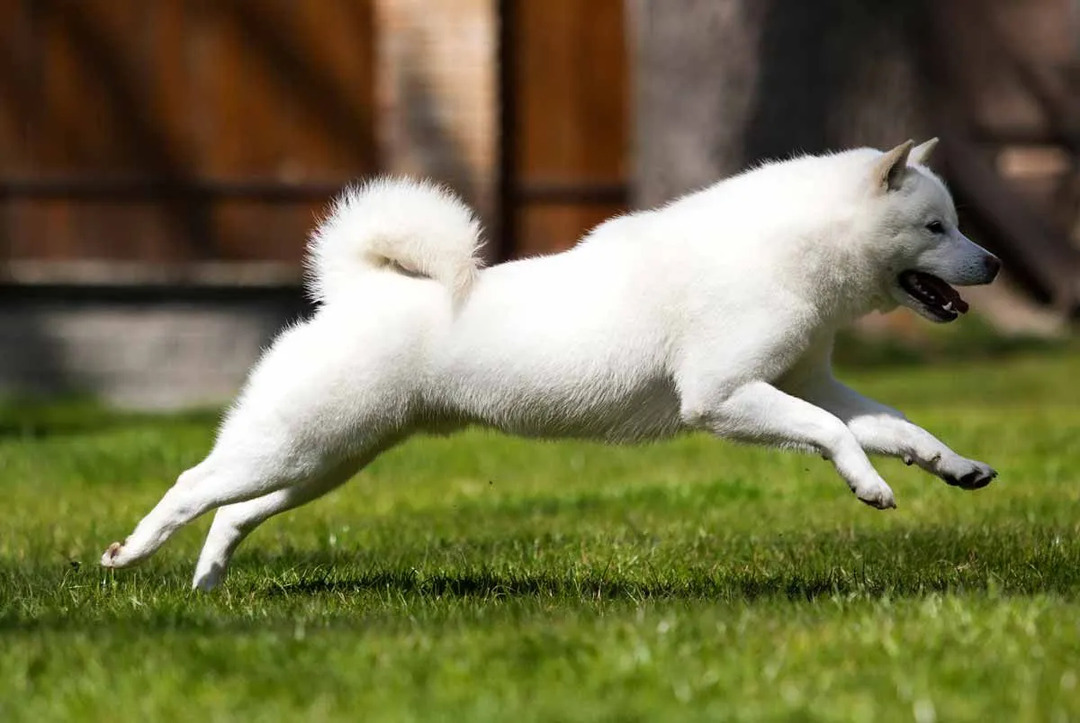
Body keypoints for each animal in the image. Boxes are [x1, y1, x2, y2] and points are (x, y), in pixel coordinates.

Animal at [103, 138, 1002, 587]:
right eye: (936, 227)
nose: (992, 262)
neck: (791, 251)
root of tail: (355, 288)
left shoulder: (809, 383)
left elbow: (895, 427)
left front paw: (953, 466)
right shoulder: (723, 399)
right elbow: (834, 436)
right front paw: (870, 486)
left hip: (326, 461)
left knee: (234, 512)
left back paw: (208, 582)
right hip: (292, 446)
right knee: (192, 485)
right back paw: (131, 555)